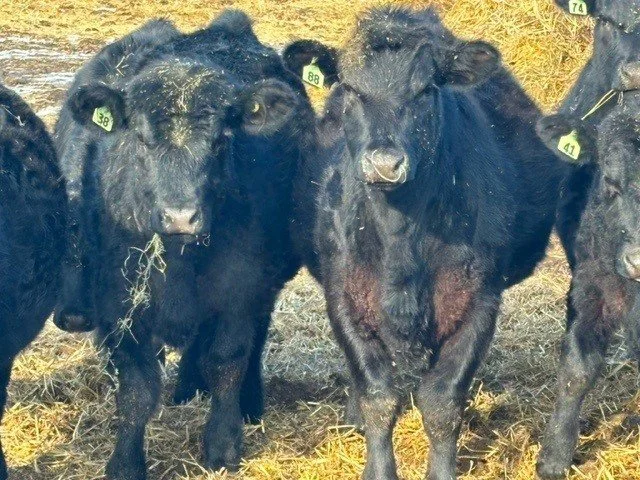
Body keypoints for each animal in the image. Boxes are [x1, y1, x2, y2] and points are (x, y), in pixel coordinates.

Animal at [55, 10, 312, 479]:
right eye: (140, 137)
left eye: (221, 138)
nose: (181, 217)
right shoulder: (121, 305)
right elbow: (136, 388)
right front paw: (125, 462)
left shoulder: (240, 287)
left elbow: (227, 360)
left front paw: (223, 444)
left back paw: (247, 401)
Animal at [284, 6, 565, 480]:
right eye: (351, 90)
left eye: (426, 91)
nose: (384, 163)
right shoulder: (344, 296)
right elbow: (378, 397)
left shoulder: (478, 301)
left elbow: (441, 403)